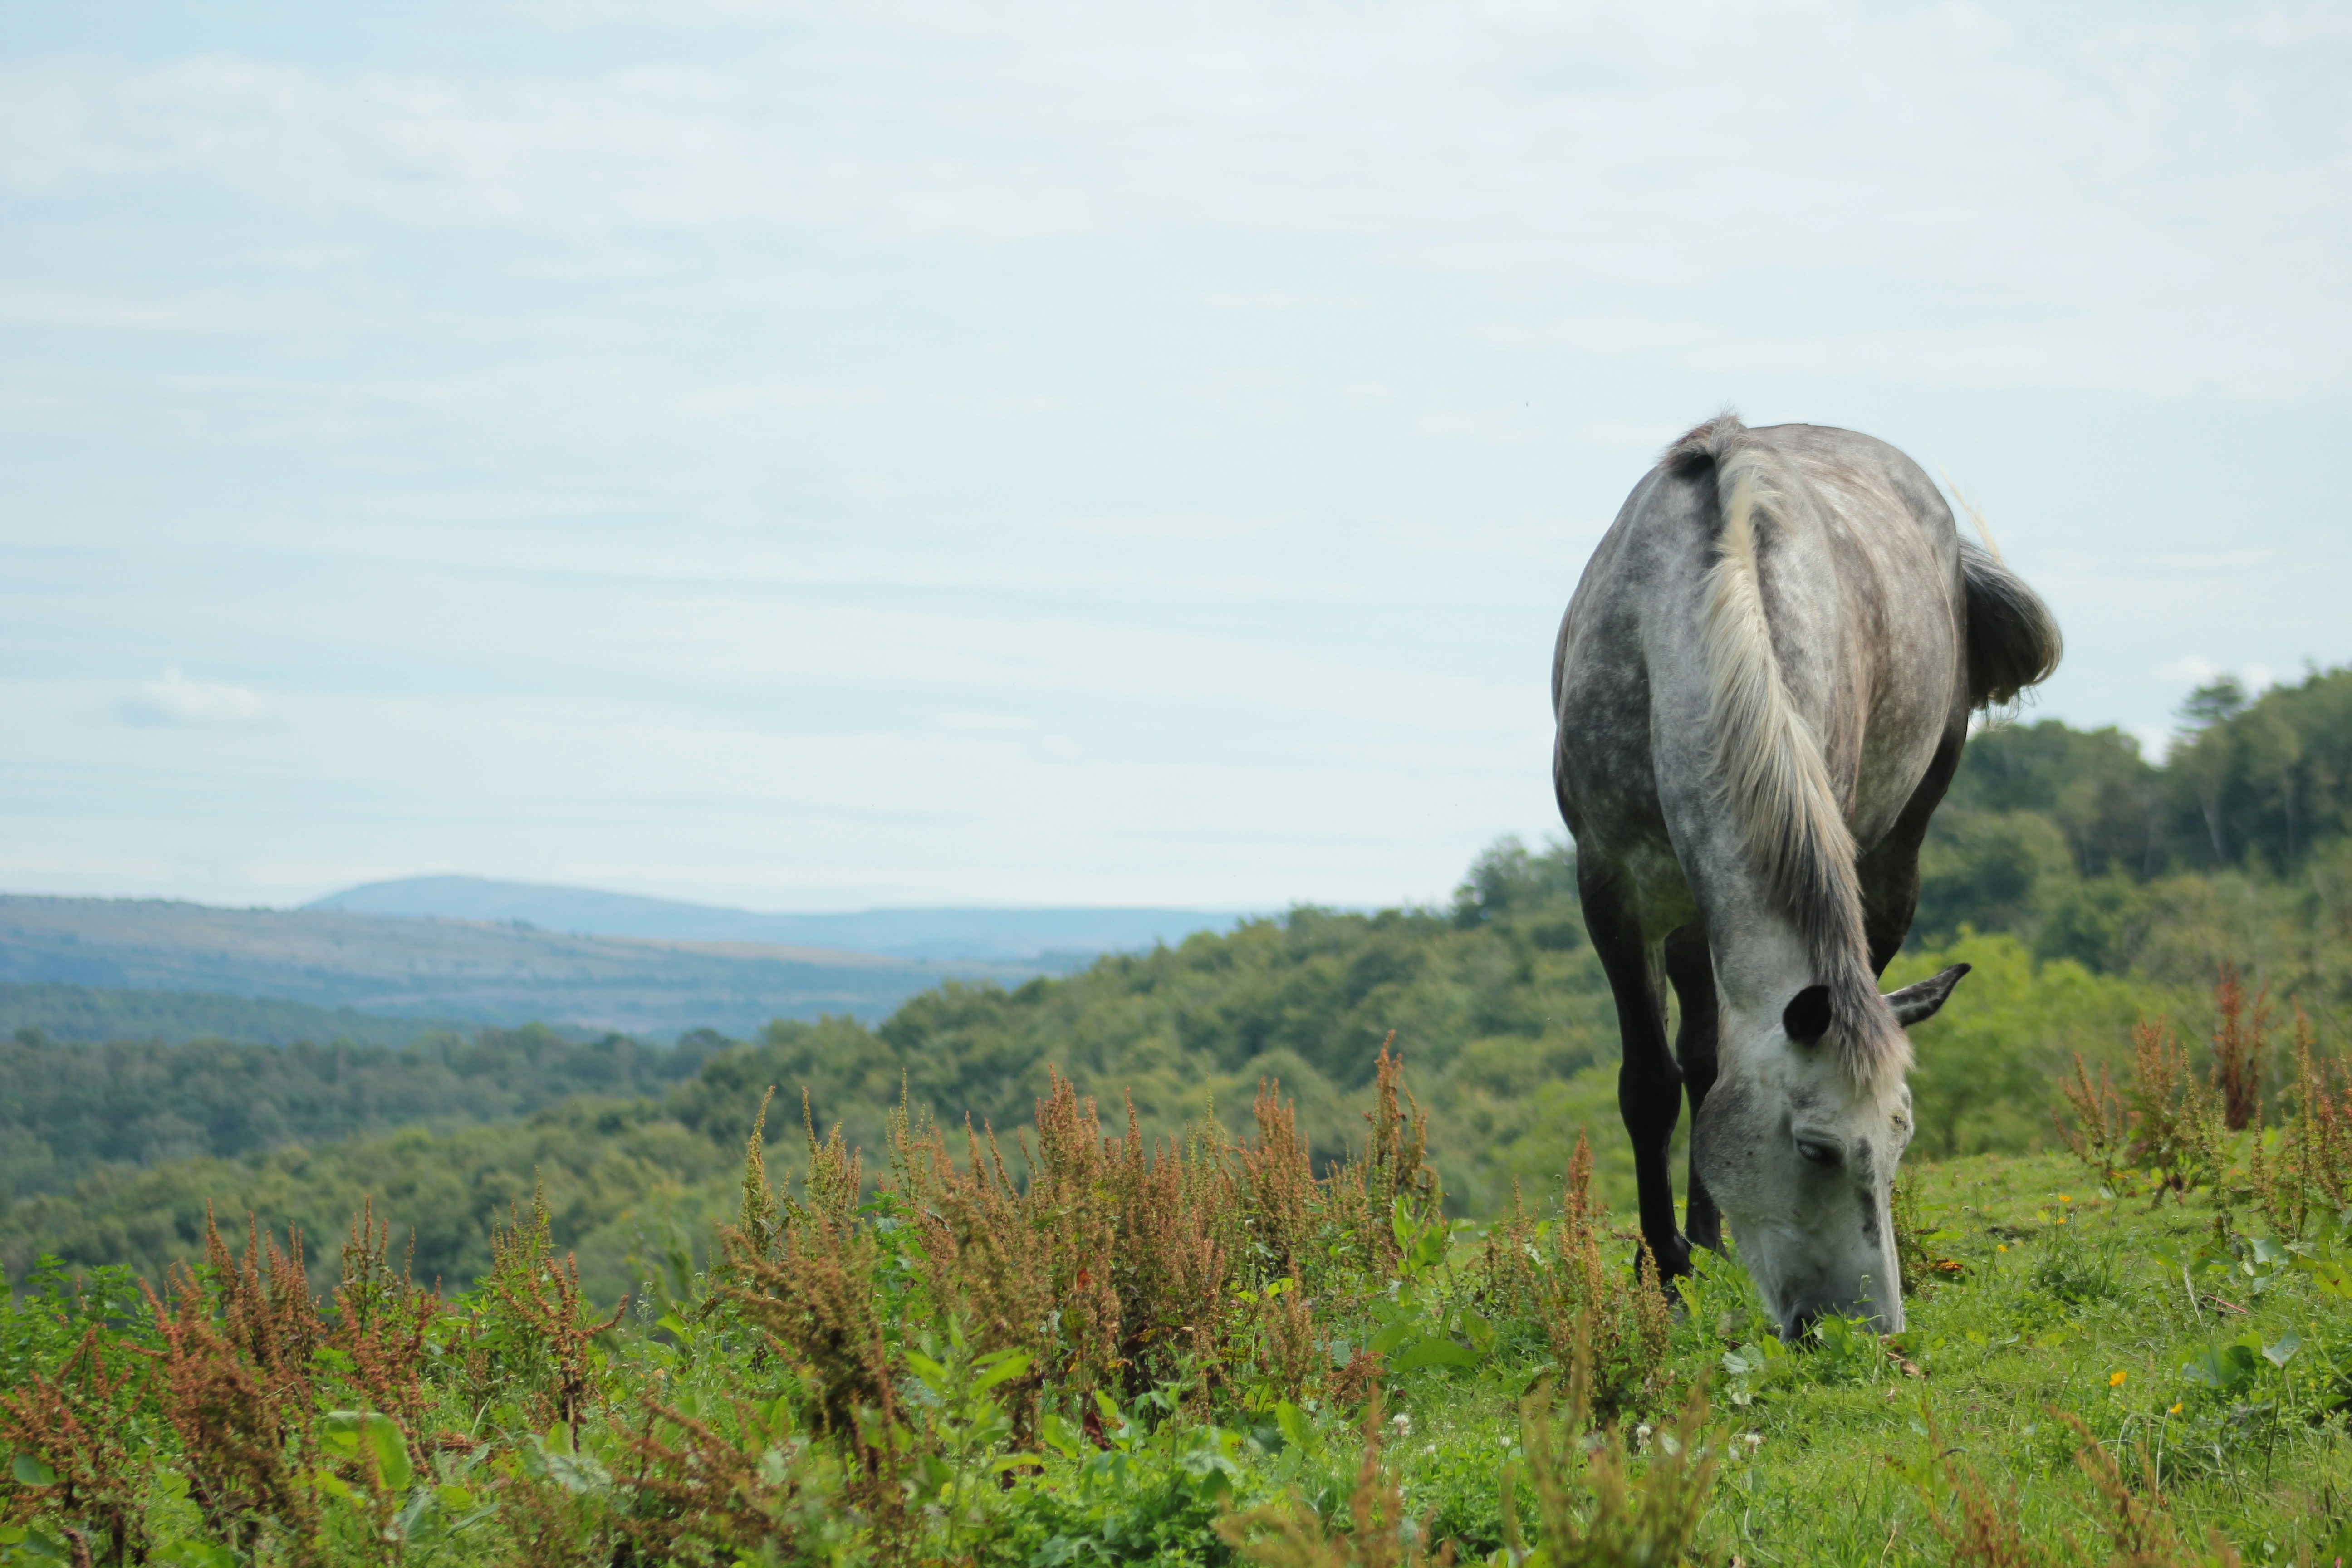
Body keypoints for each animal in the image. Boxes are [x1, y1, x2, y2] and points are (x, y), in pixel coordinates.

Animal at [1551, 414, 2060, 1338]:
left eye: (1900, 1143)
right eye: (1814, 1147)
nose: (1871, 1332)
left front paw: (1687, 1254)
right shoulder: (1610, 888)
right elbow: (1650, 1083)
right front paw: (1662, 1271)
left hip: (1892, 858)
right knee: (1697, 1056)